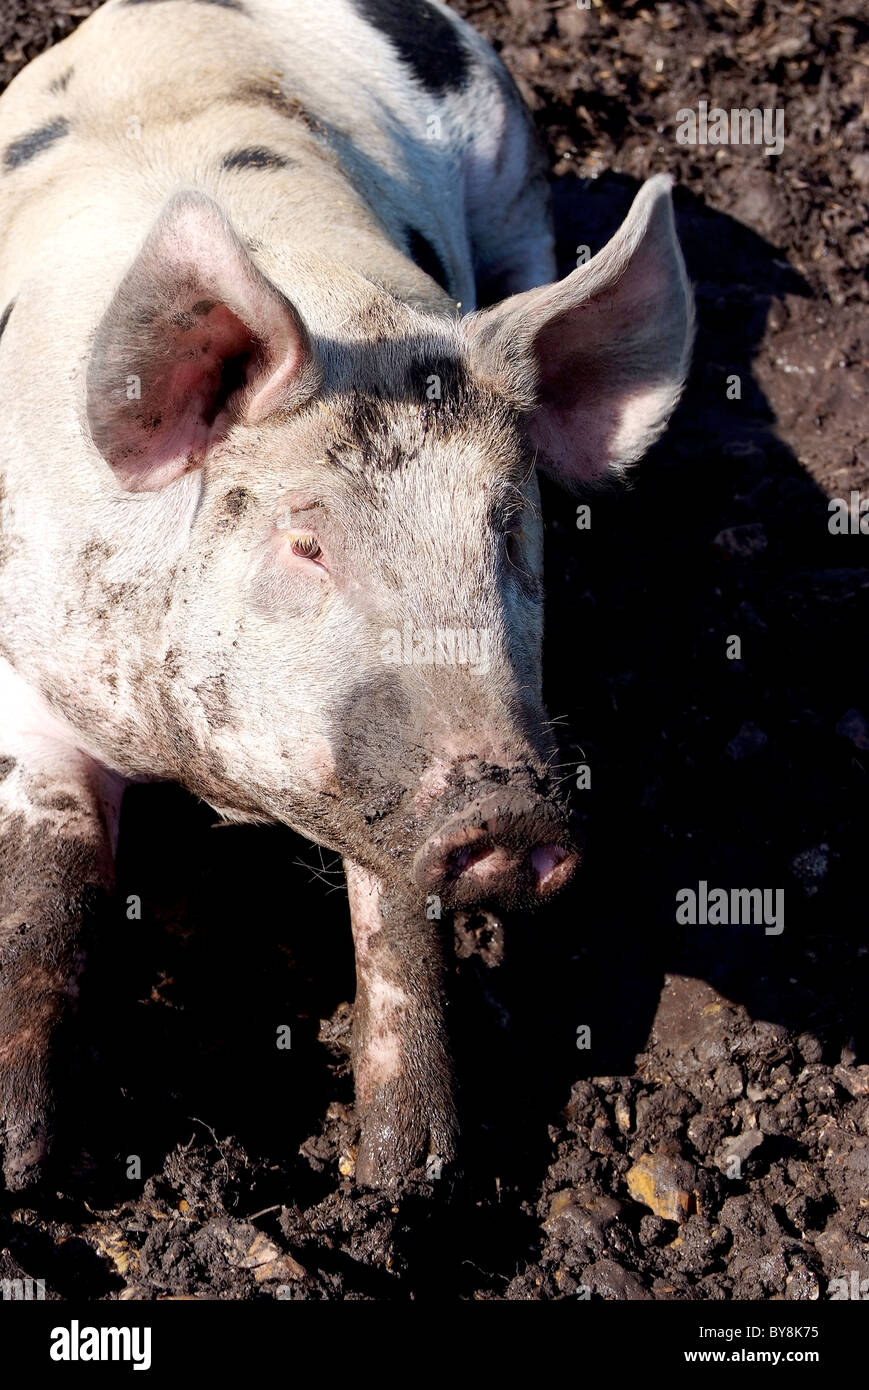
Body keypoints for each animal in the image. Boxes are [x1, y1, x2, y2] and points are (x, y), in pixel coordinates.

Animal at [0, 0, 693, 1192]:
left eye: (507, 531)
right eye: (306, 541)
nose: (503, 807)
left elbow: (400, 920)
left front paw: (404, 1174)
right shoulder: (29, 666)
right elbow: (43, 893)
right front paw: (16, 1159)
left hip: (512, 171)